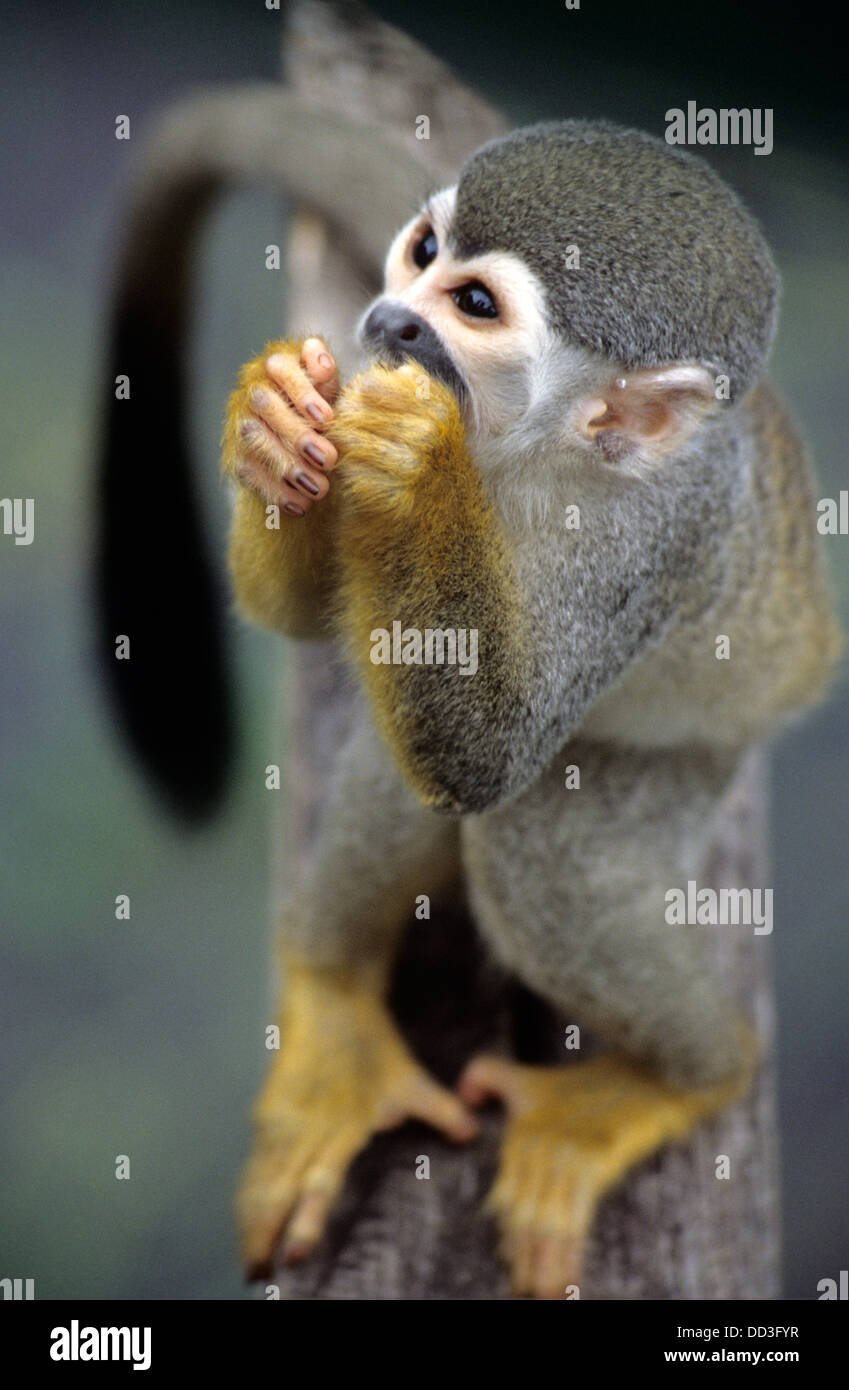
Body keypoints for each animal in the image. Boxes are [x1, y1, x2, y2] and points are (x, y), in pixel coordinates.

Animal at [220, 120, 841, 1298]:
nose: (392, 321)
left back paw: (690, 1076)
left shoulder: (641, 550)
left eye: (474, 308)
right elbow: (324, 624)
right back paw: (332, 1002)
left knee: (534, 847)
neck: (530, 452)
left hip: (702, 754)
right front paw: (274, 426)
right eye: (422, 251)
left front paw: (420, 474)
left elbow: (487, 759)